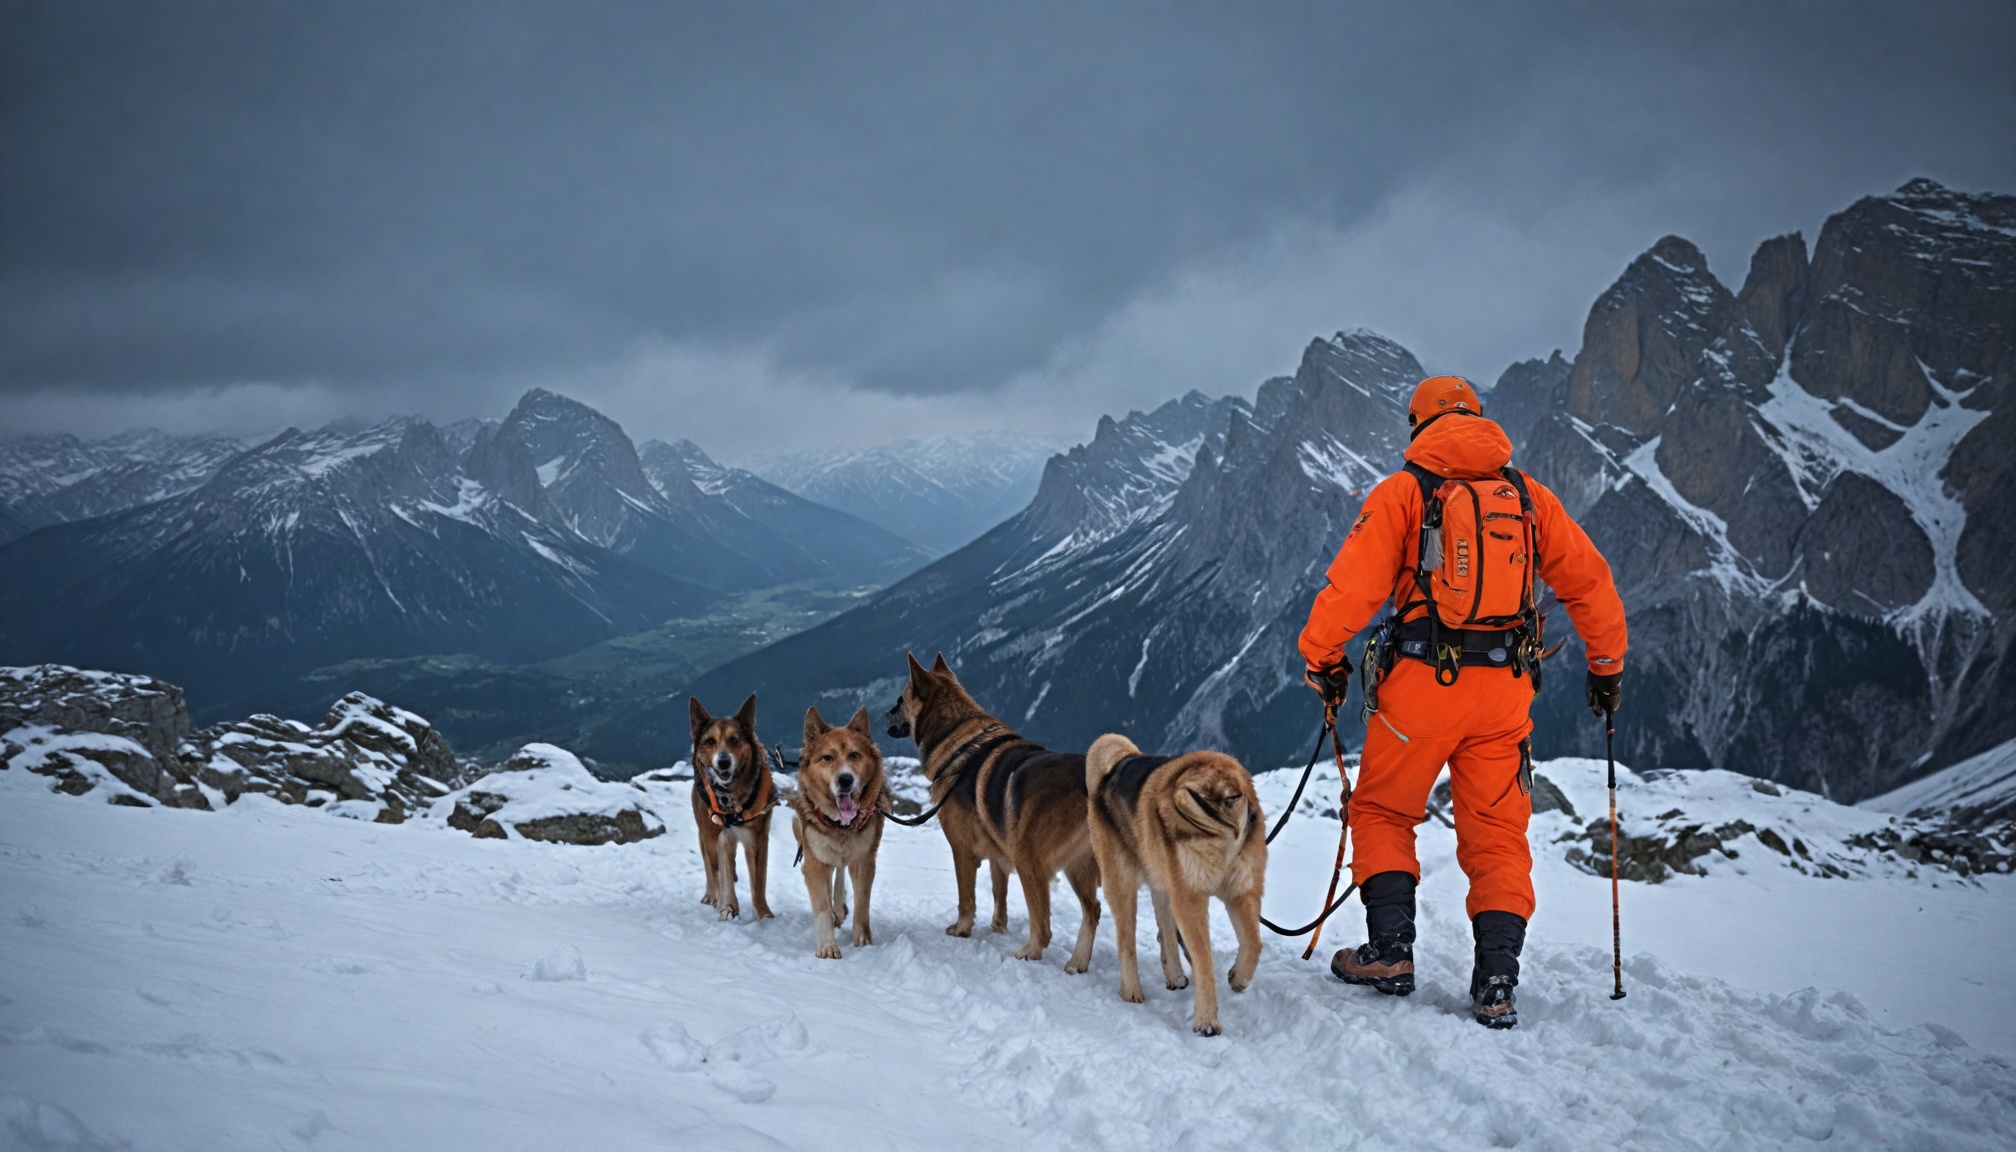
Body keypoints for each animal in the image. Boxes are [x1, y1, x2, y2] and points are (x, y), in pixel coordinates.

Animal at [689, 694, 774, 928]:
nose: (724, 761)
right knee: (714, 869)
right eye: (710, 741)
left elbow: (758, 881)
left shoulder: (758, 837)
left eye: (734, 740)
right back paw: (714, 897)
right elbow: (721, 873)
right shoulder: (715, 834)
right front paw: (728, 907)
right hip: (707, 833)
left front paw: (763, 915)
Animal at [786, 706, 883, 960]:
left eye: (855, 755)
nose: (845, 780)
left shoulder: (864, 858)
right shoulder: (815, 860)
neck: (841, 826)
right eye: (827, 758)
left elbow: (862, 902)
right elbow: (821, 906)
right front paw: (828, 946)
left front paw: (862, 938)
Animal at [887, 653, 1104, 968]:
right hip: (1078, 865)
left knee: (1045, 925)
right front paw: (998, 926)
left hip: (1029, 859)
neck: (959, 739)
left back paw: (1031, 951)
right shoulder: (998, 853)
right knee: (1093, 910)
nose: (885, 715)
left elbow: (966, 896)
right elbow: (998, 890)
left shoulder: (962, 849)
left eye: (900, 700)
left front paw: (962, 929)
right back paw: (1077, 963)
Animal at [1088, 734, 1257, 1041]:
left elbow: (1253, 941)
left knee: (1164, 924)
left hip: (1162, 876)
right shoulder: (1190, 898)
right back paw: (1132, 991)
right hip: (1122, 881)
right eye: (1194, 808)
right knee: (1126, 939)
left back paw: (1175, 974)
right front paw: (1207, 1021)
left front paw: (1238, 978)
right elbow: (1203, 958)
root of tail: (1117, 763)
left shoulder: (1242, 890)